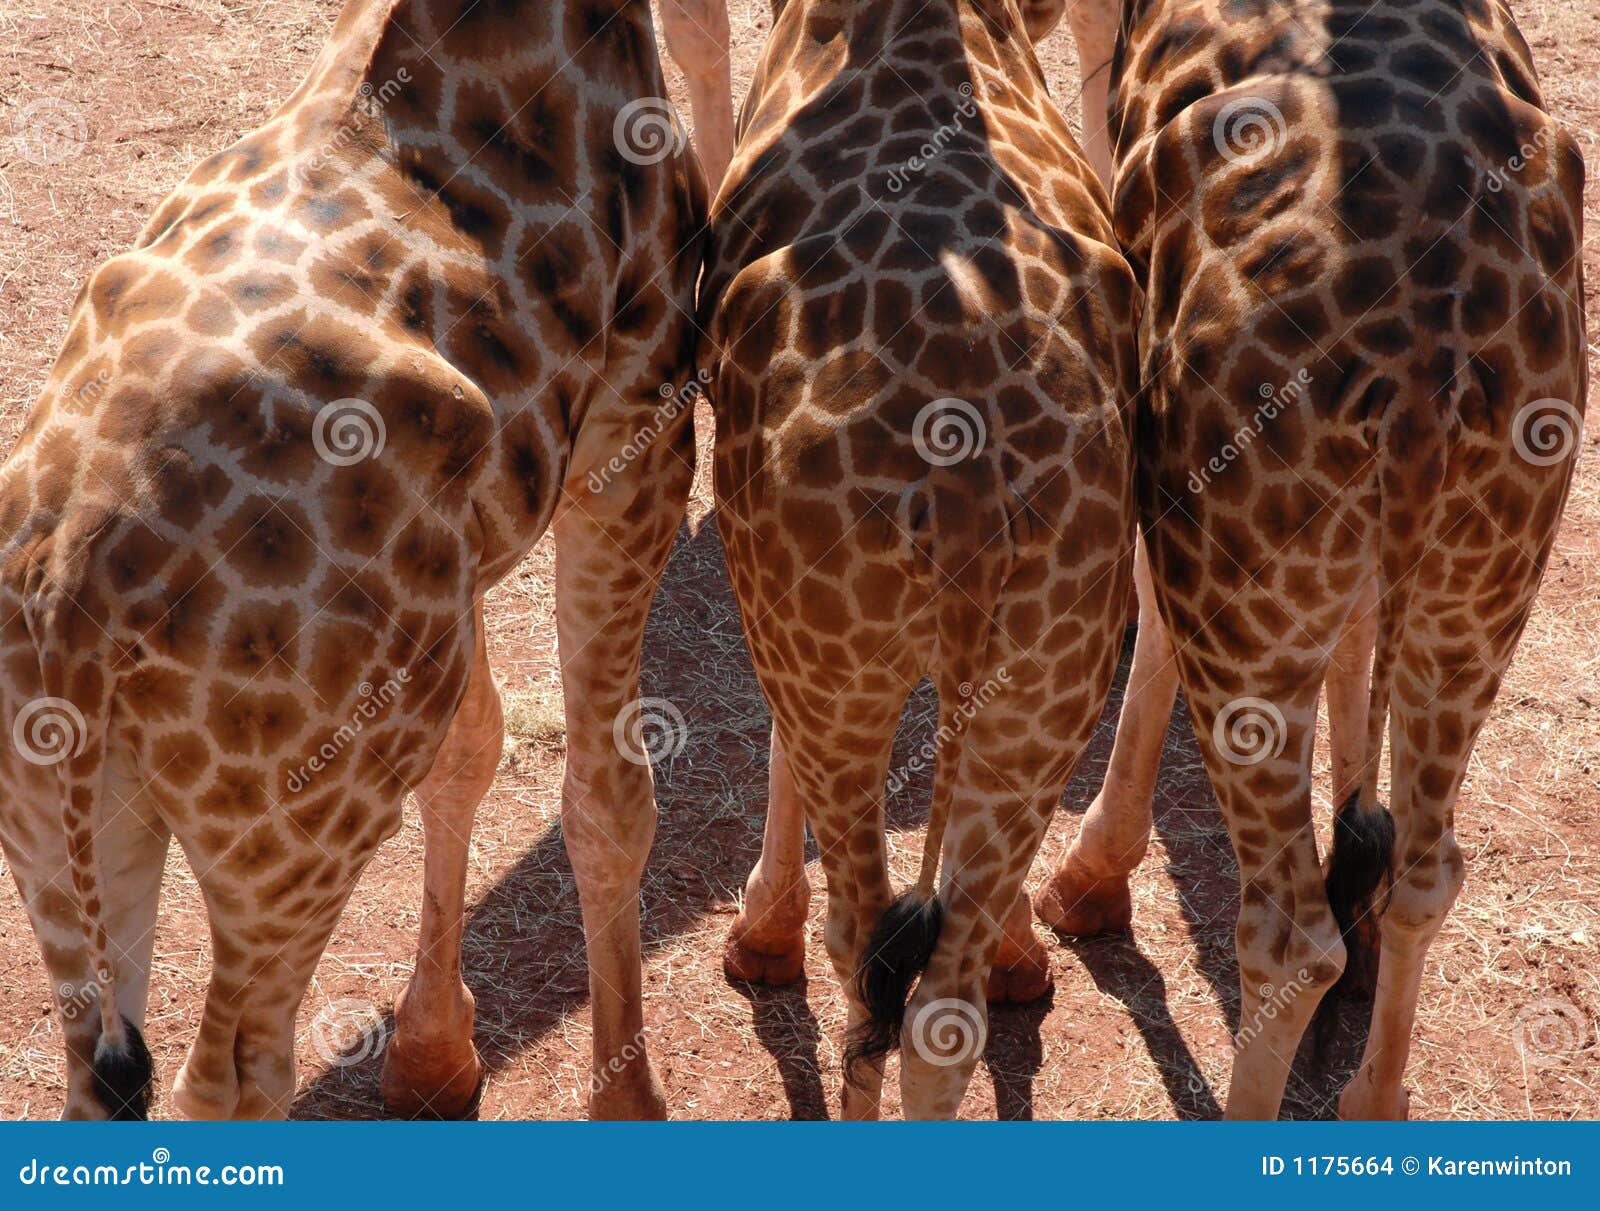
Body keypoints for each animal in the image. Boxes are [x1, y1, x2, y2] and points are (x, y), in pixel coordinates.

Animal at [0, 0, 707, 1120]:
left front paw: (435, 1057)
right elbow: (610, 799)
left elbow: (474, 746)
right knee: (233, 1076)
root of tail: (66, 585)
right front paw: (629, 1103)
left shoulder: (446, 588)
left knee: (99, 1075)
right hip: (292, 839)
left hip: (57, 820)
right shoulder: (638, 422)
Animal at [702, 0, 1138, 1117]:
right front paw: (1028, 957)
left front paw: (756, 938)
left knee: (864, 949)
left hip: (839, 667)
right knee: (942, 999)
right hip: (1056, 666)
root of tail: (964, 466)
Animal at [1037, 0, 1586, 1118]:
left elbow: (1150, 613)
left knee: (1291, 931)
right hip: (1490, 564)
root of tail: (1432, 363)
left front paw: (1088, 883)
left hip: (1251, 562)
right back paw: (1372, 1096)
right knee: (1428, 869)